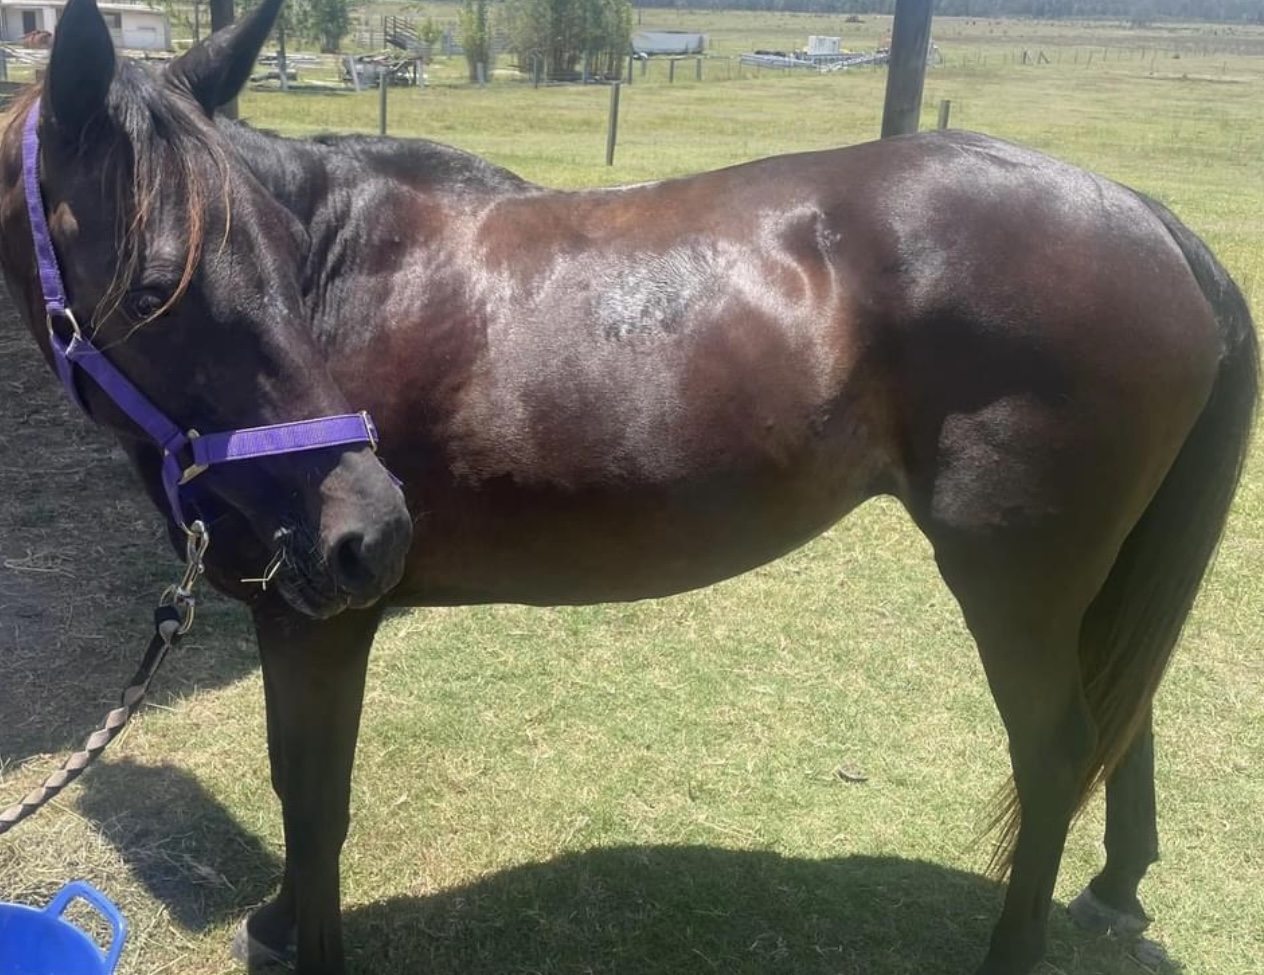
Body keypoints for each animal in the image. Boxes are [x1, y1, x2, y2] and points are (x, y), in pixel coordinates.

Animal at [0, 1, 1256, 973]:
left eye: (267, 256)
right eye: (159, 286)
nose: (372, 526)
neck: (350, 277)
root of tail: (1146, 217)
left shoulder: (319, 622)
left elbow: (313, 807)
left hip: (1015, 582)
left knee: (1057, 749)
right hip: (1083, 577)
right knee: (1120, 715)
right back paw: (1114, 889)